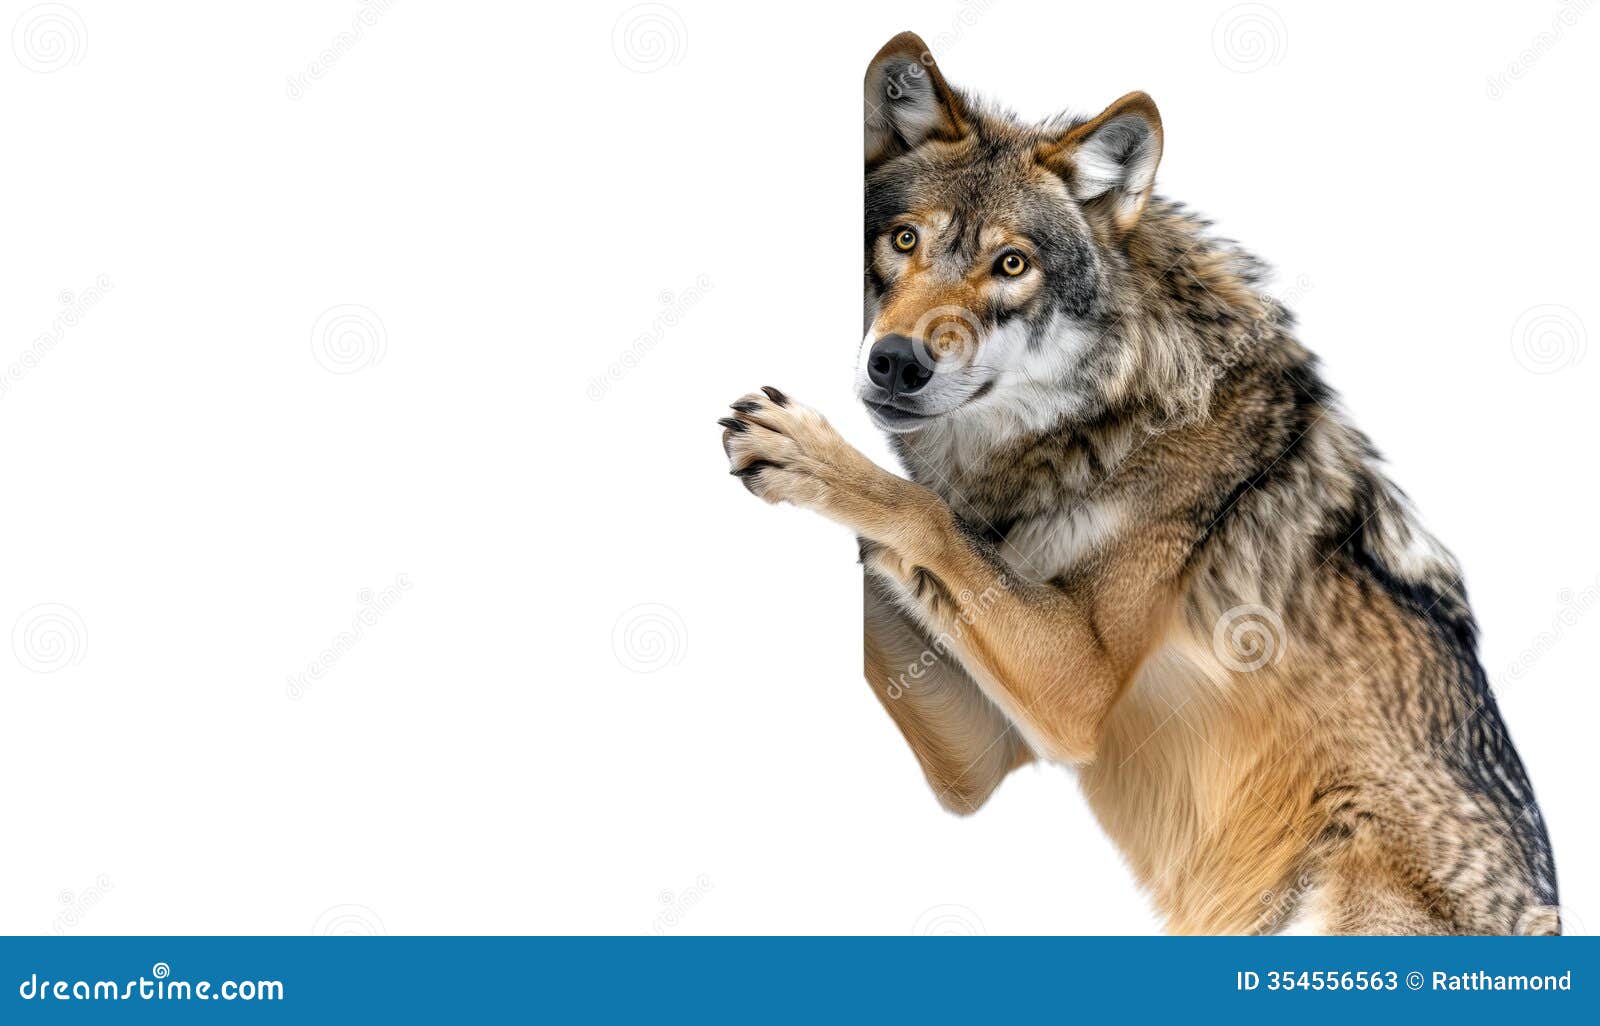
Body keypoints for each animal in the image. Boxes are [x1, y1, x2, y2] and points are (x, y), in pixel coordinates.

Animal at [717, 31, 1558, 934]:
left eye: (1011, 263)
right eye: (904, 240)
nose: (896, 363)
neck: (1107, 423)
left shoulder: (1077, 687)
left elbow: (925, 513)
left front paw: (811, 453)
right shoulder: (981, 752)